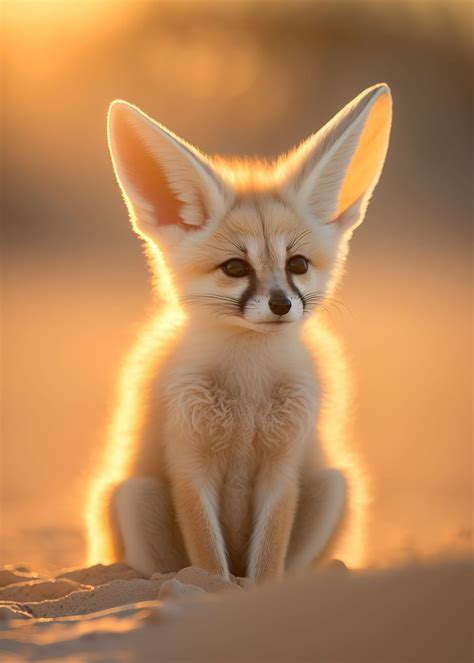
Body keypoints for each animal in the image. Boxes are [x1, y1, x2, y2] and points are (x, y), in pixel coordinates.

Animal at [85, 83, 392, 582]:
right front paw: (217, 589)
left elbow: (267, 565)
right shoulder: (188, 459)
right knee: (161, 569)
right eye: (235, 268)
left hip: (334, 486)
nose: (282, 305)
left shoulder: (283, 464)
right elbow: (210, 563)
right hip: (135, 494)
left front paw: (257, 592)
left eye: (297, 264)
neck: (248, 392)